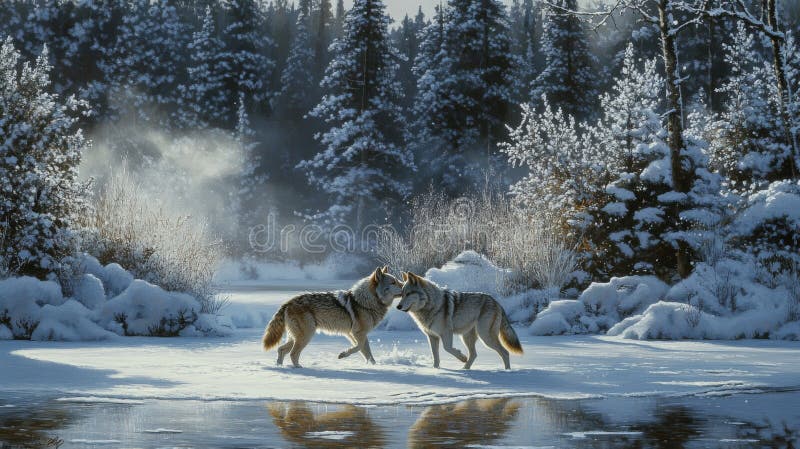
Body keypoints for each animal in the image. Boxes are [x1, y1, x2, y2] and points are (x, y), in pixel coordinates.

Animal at [262, 267, 402, 367]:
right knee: (292, 354)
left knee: (281, 350)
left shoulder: (355, 334)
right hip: (306, 336)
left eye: (397, 281)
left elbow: (367, 353)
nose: (404, 284)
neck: (366, 302)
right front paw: (342, 354)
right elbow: (359, 347)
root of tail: (288, 302)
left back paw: (280, 367)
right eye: (393, 282)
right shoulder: (357, 333)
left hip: (295, 338)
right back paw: (299, 369)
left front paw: (374, 366)